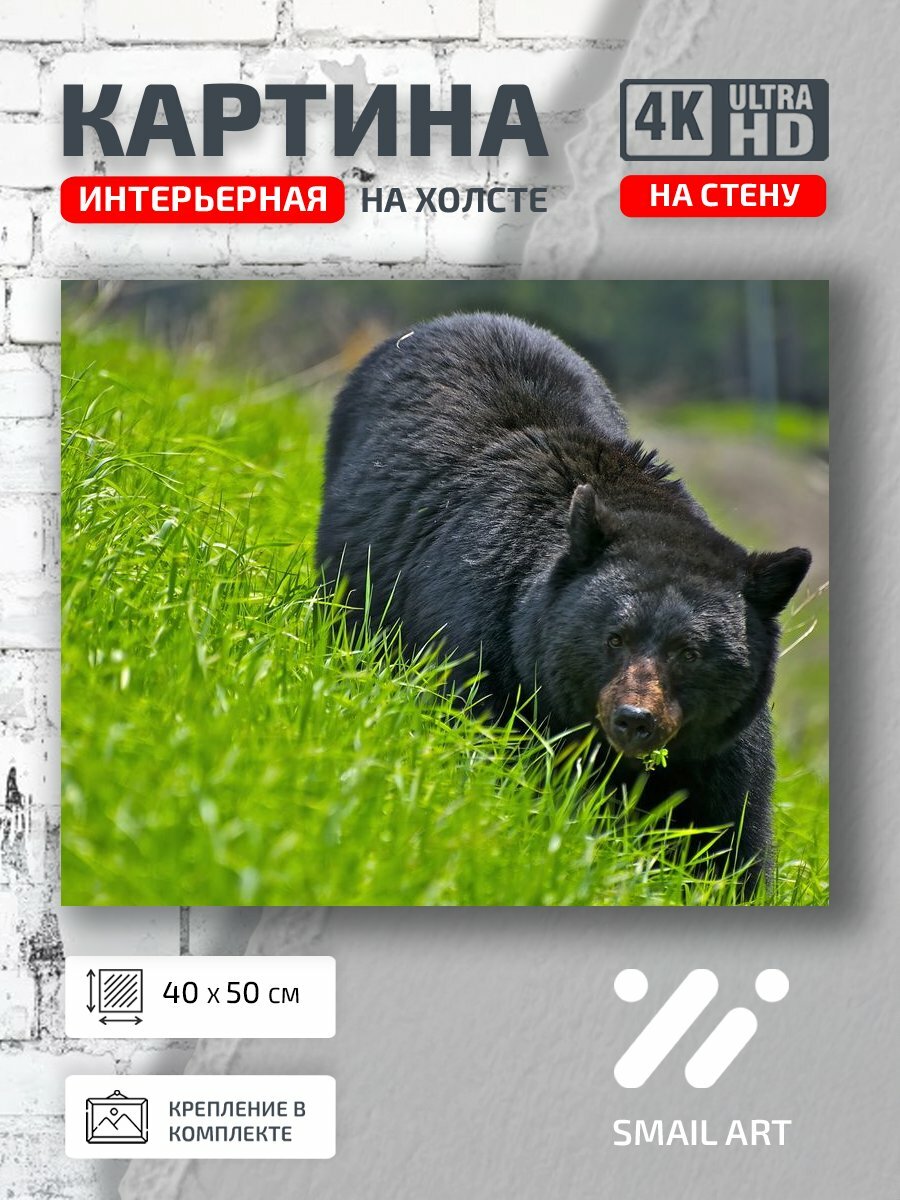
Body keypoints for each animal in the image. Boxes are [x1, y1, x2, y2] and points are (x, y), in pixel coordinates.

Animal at [316, 312, 811, 892]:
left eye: (690, 652)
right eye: (614, 638)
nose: (634, 719)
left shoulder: (721, 745)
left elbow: (730, 831)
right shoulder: (485, 650)